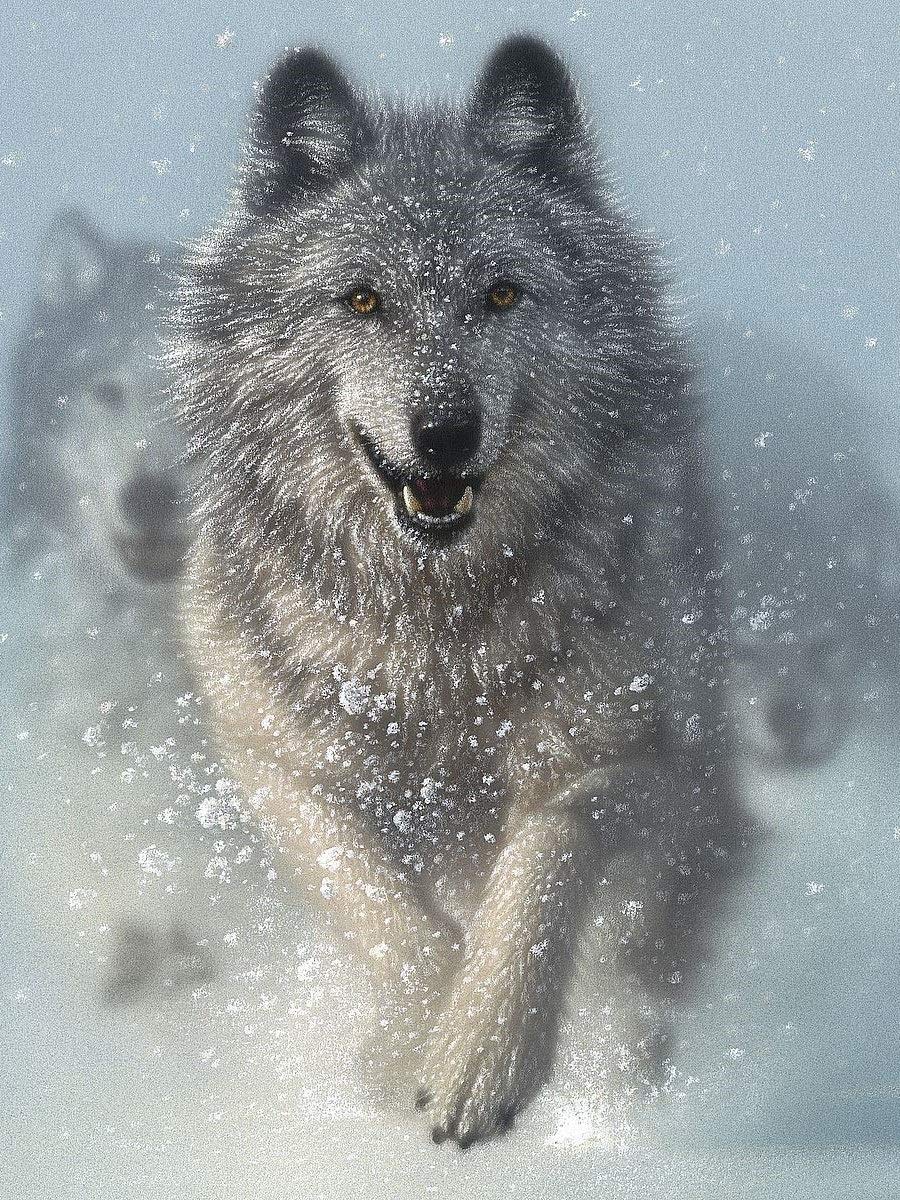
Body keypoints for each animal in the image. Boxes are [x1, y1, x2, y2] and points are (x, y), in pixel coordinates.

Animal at [170, 37, 751, 1146]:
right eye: (361, 301)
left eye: (502, 295)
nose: (445, 430)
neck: (432, 637)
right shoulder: (274, 762)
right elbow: (380, 908)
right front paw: (412, 1042)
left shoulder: (638, 758)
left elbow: (542, 866)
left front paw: (484, 1053)